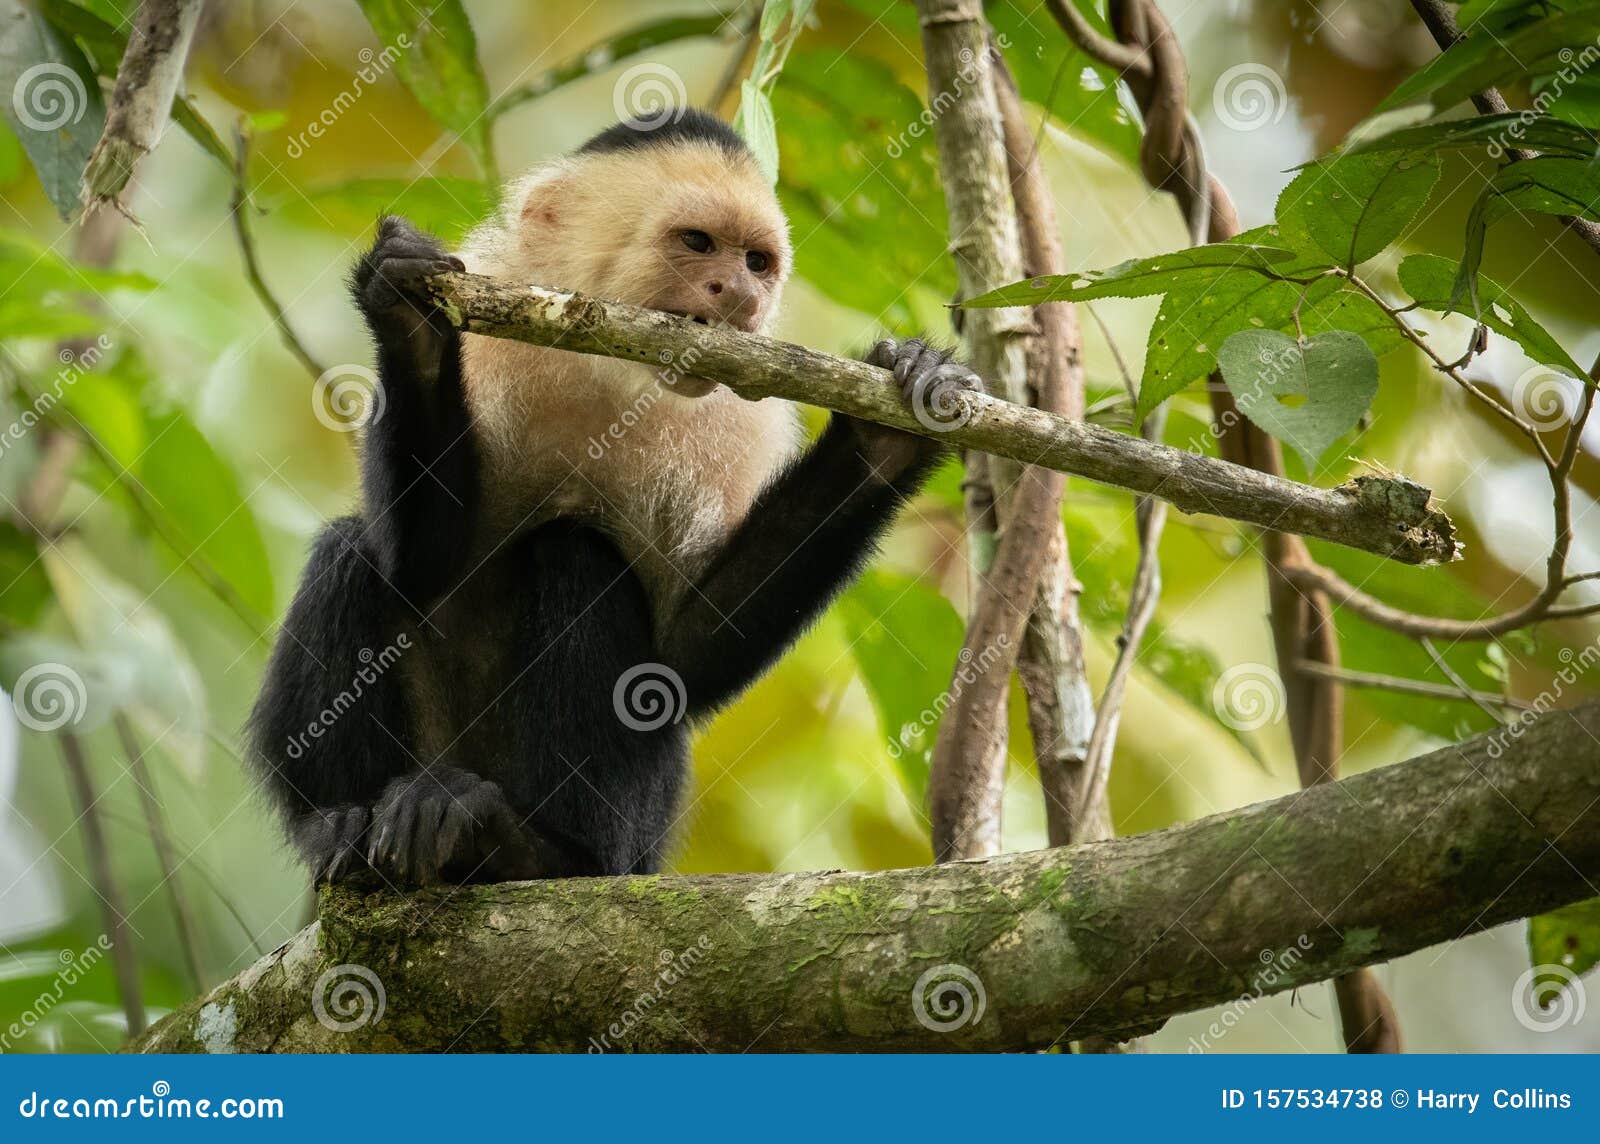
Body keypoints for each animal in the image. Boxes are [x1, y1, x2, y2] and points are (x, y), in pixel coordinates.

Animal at [247, 109, 979, 885]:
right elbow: (418, 565)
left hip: (638, 842)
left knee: (576, 555)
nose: (740, 294)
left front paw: (884, 436)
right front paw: (410, 316)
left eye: (756, 262)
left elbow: (687, 654)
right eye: (697, 243)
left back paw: (539, 850)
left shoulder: (739, 424)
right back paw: (343, 826)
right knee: (351, 551)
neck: (611, 374)